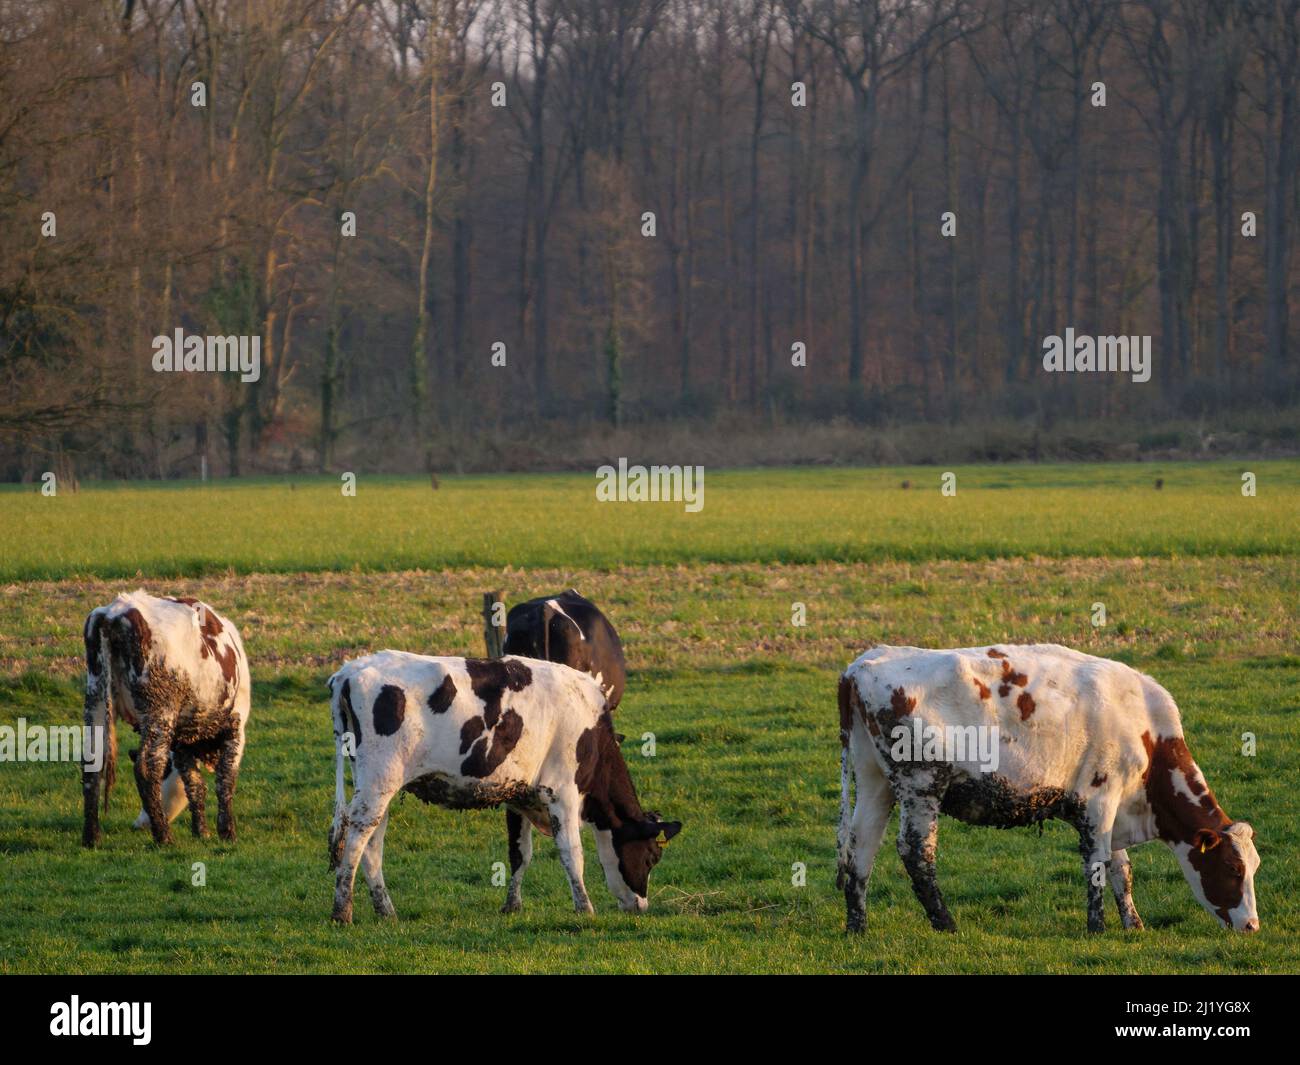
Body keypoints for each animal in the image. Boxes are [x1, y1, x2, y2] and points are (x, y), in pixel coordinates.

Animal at [81, 592, 251, 847]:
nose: (139, 824)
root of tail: (116, 611)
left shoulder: (182, 740)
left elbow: (195, 785)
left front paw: (201, 831)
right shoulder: (235, 727)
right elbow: (225, 781)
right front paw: (227, 832)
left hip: (97, 699)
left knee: (91, 765)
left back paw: (91, 838)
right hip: (159, 712)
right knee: (146, 766)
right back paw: (164, 837)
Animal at [326, 651, 680, 923]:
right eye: (651, 857)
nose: (640, 906)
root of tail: (351, 669)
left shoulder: (518, 794)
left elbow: (520, 853)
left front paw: (512, 906)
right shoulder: (562, 791)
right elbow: (572, 853)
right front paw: (585, 908)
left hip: (376, 784)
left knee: (372, 845)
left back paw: (386, 911)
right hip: (378, 782)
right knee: (356, 839)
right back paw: (342, 912)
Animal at [837, 644, 1261, 935]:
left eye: (1253, 866)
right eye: (1232, 867)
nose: (1252, 925)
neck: (1146, 730)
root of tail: (864, 663)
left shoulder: (1112, 806)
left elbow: (1121, 869)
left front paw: (1133, 924)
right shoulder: (1099, 800)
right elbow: (1097, 865)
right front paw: (1097, 928)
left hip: (874, 780)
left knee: (861, 845)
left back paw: (858, 926)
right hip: (921, 785)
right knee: (916, 852)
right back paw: (945, 923)